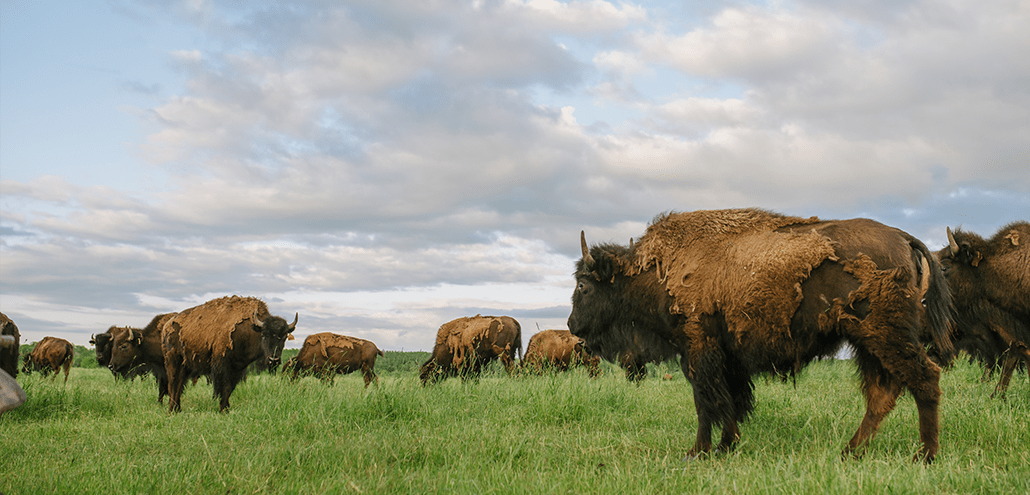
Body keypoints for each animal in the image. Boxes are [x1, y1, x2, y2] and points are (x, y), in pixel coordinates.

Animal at [162, 296, 297, 412]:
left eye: (284, 337)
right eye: (264, 335)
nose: (273, 360)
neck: (249, 329)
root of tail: (166, 326)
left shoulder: (238, 368)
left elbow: (229, 388)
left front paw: (226, 408)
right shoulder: (222, 365)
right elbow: (224, 386)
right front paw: (223, 409)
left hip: (186, 365)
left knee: (179, 384)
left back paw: (177, 409)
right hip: (173, 362)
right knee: (173, 383)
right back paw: (172, 410)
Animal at [569, 209, 953, 463]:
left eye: (583, 285)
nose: (572, 326)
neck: (658, 269)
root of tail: (904, 237)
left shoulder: (697, 348)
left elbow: (707, 401)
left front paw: (699, 452)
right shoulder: (726, 358)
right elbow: (729, 401)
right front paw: (726, 445)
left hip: (884, 336)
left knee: (924, 379)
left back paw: (925, 456)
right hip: (867, 343)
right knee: (881, 393)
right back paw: (849, 452)